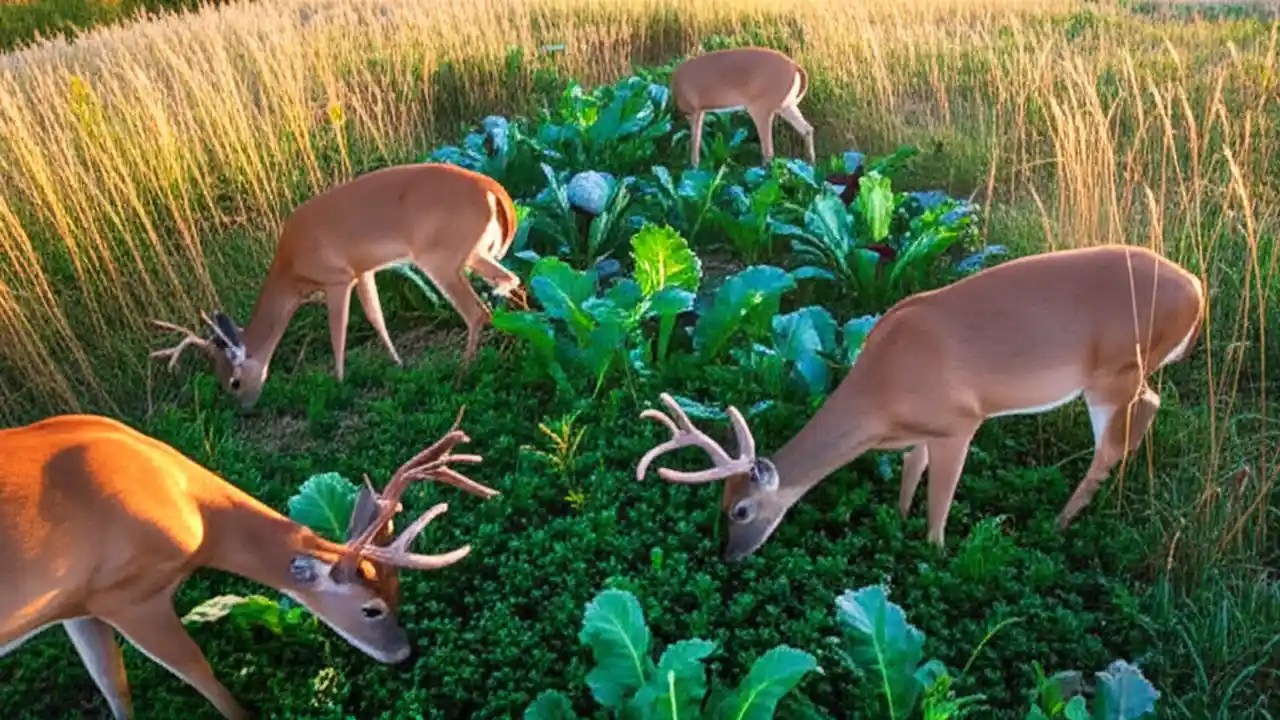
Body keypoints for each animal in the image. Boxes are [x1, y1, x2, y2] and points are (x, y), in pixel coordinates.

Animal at [0, 410, 499, 719]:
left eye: (399, 594)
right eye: (371, 609)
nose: (404, 654)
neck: (188, 505)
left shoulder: (78, 604)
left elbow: (113, 685)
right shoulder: (128, 594)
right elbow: (198, 670)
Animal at [149, 162, 526, 410]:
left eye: (233, 382)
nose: (244, 406)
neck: (291, 267)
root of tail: (493, 189)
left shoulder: (337, 278)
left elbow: (338, 330)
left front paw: (339, 382)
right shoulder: (362, 272)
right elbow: (375, 316)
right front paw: (398, 363)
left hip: (441, 258)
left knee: (478, 312)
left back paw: (463, 374)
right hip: (473, 254)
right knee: (514, 283)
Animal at [635, 244, 1206, 561]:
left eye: (741, 509)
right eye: (721, 505)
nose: (729, 558)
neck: (881, 395)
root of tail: (1199, 290)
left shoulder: (961, 422)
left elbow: (939, 506)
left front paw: (933, 553)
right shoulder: (922, 430)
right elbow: (912, 470)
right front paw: (898, 520)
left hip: (1113, 371)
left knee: (1112, 442)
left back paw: (1060, 522)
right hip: (1128, 374)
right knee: (1149, 408)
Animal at [670, 47, 816, 168]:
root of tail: (795, 67)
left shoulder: (694, 110)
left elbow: (694, 143)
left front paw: (693, 168)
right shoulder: (700, 111)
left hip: (761, 108)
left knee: (768, 150)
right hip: (786, 106)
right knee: (807, 129)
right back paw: (810, 165)